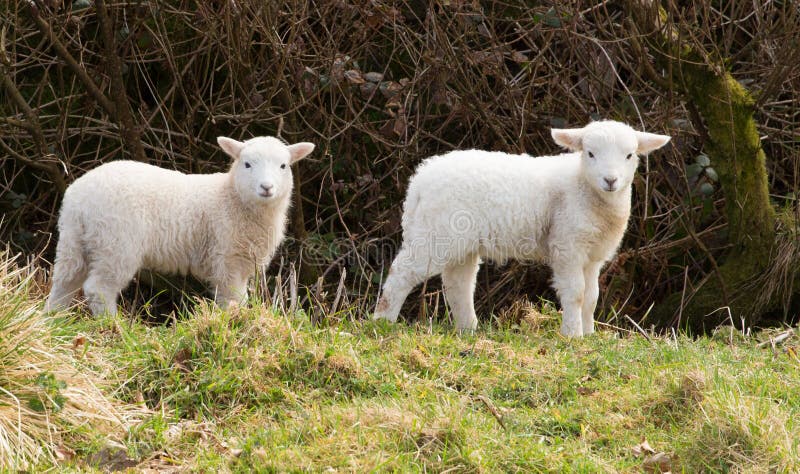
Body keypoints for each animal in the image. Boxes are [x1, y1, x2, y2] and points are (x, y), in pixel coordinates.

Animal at [45, 136, 315, 316]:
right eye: (247, 164)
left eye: (283, 166)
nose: (266, 187)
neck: (232, 198)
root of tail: (79, 198)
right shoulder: (227, 258)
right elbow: (231, 298)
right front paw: (232, 323)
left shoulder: (242, 262)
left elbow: (241, 298)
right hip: (116, 243)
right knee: (98, 289)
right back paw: (114, 328)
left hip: (75, 241)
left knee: (64, 283)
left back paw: (53, 321)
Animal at [373, 120, 670, 337]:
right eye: (590, 153)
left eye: (629, 155)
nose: (610, 180)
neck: (583, 187)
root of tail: (420, 180)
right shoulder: (568, 245)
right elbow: (575, 293)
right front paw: (573, 335)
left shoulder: (594, 255)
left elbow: (592, 297)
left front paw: (590, 334)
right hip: (437, 232)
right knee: (402, 272)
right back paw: (382, 322)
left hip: (460, 241)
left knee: (458, 284)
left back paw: (468, 329)